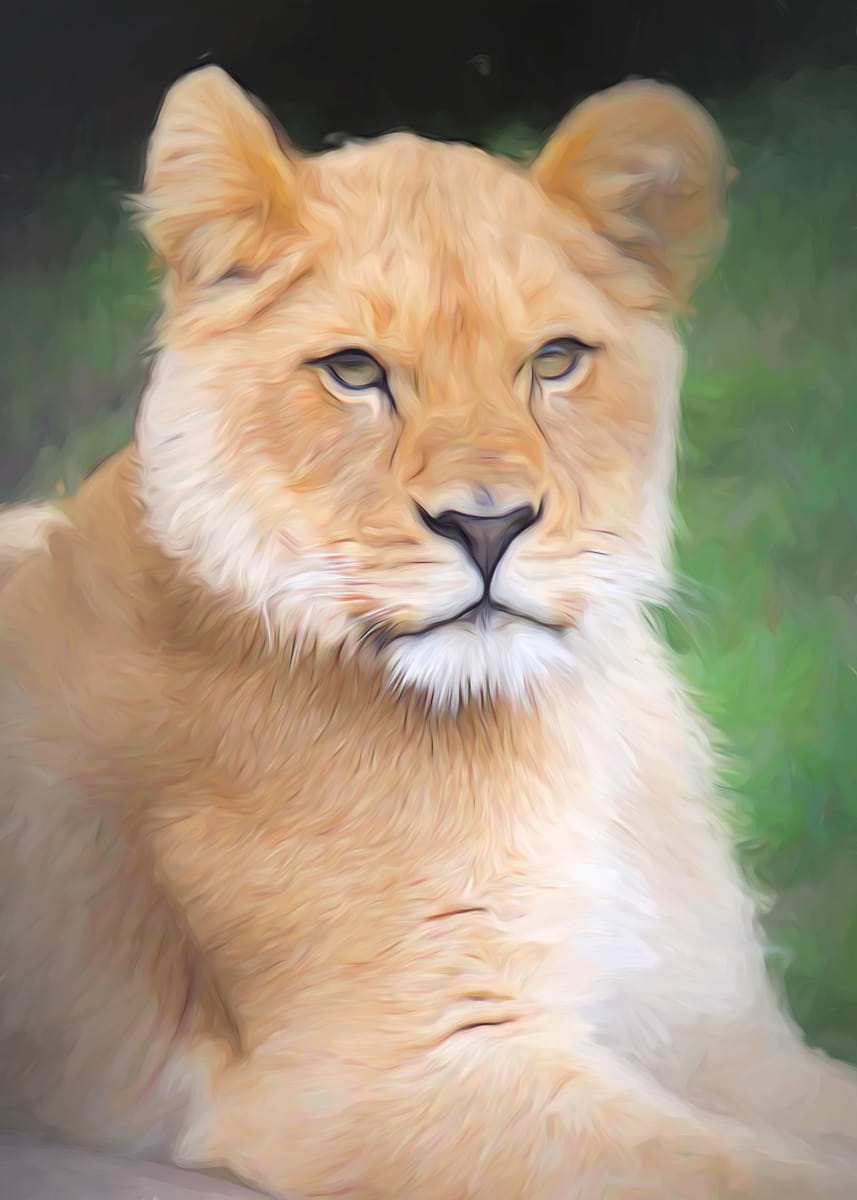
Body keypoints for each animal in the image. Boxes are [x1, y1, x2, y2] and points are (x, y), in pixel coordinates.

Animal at [1, 66, 856, 1199]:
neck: (564, 724)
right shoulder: (382, 1072)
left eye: (555, 360)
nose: (486, 524)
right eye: (354, 372)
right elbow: (742, 1169)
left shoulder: (716, 1031)